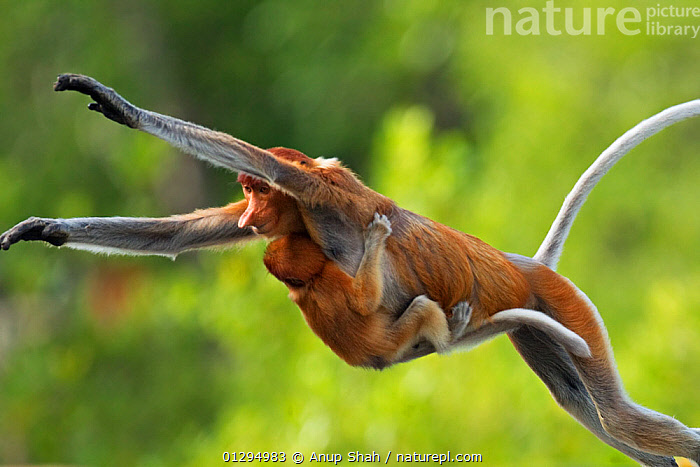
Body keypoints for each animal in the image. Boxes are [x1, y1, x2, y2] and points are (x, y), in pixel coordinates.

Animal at [0, 74, 697, 464]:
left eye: (254, 191)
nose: (250, 215)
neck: (306, 222)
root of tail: (528, 269)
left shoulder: (324, 198)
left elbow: (263, 159)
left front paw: (114, 105)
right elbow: (177, 234)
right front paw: (43, 230)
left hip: (564, 309)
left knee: (616, 414)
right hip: (538, 326)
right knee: (586, 407)